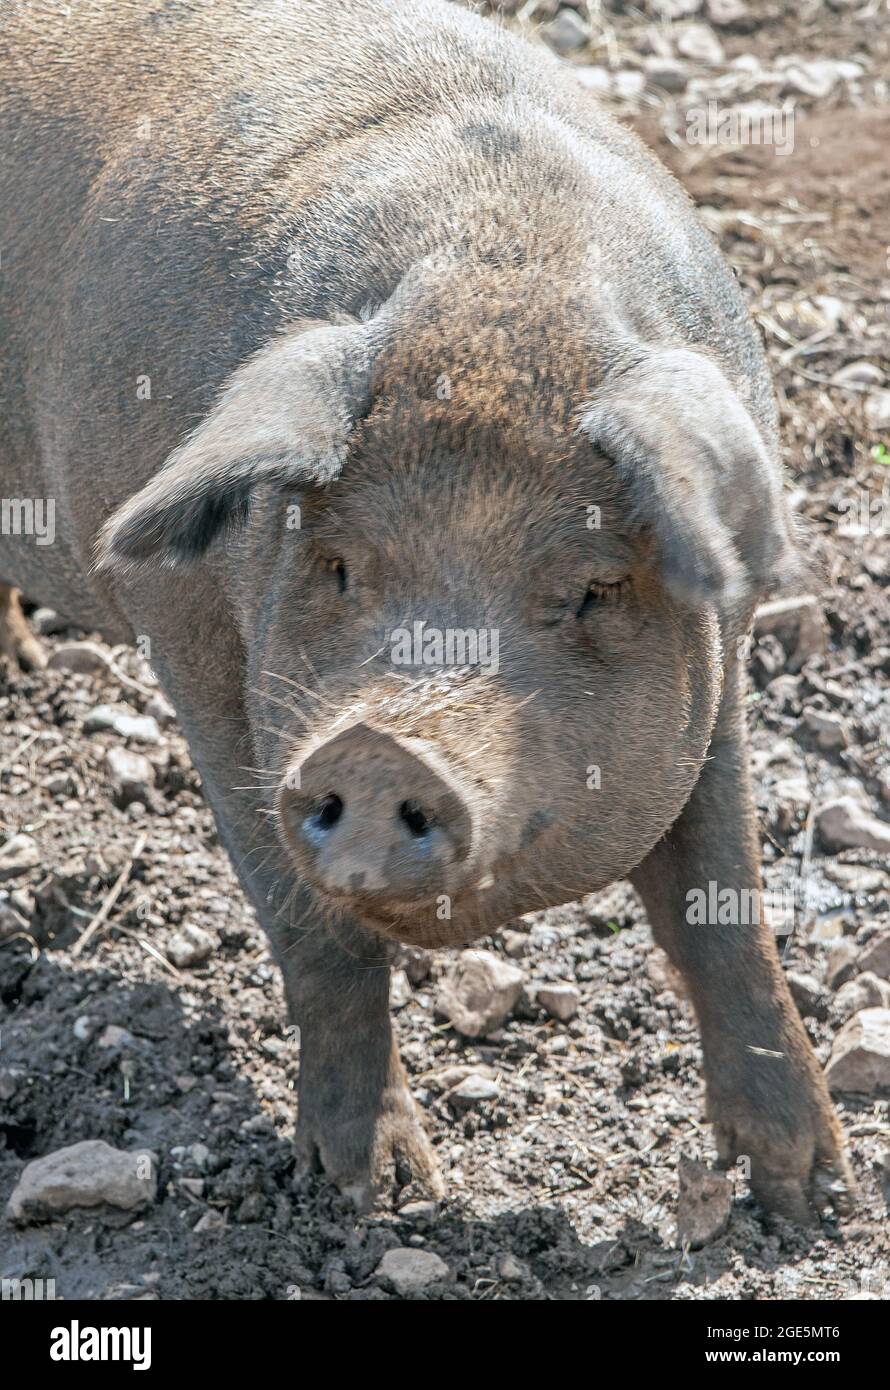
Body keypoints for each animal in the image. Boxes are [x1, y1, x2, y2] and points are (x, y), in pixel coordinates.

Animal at [0, 0, 853, 1221]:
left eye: (590, 589)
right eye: (341, 567)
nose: (379, 746)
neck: (499, 269)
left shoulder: (723, 664)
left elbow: (721, 903)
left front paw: (809, 1195)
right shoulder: (186, 642)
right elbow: (310, 931)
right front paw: (381, 1194)